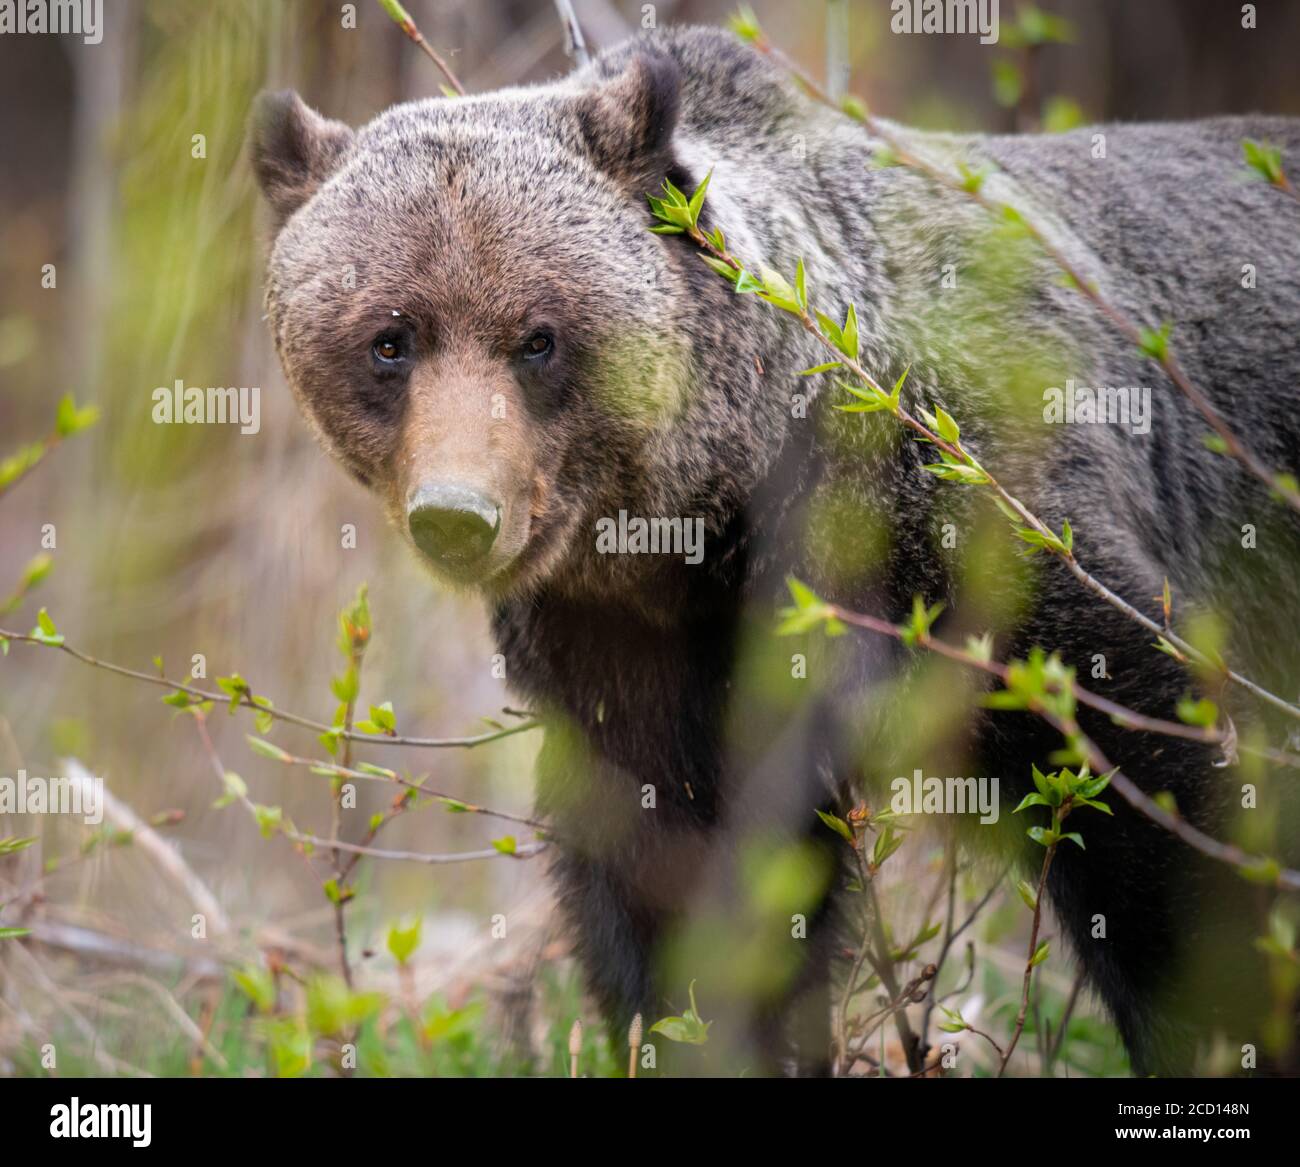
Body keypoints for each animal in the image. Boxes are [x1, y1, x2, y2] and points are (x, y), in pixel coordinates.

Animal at [251, 24, 1300, 1076]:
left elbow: (1154, 806)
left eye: (538, 337)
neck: (709, 516)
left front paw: (1225, 1028)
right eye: (390, 339)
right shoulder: (634, 658)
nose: (458, 514)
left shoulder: (981, 529)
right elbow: (686, 898)